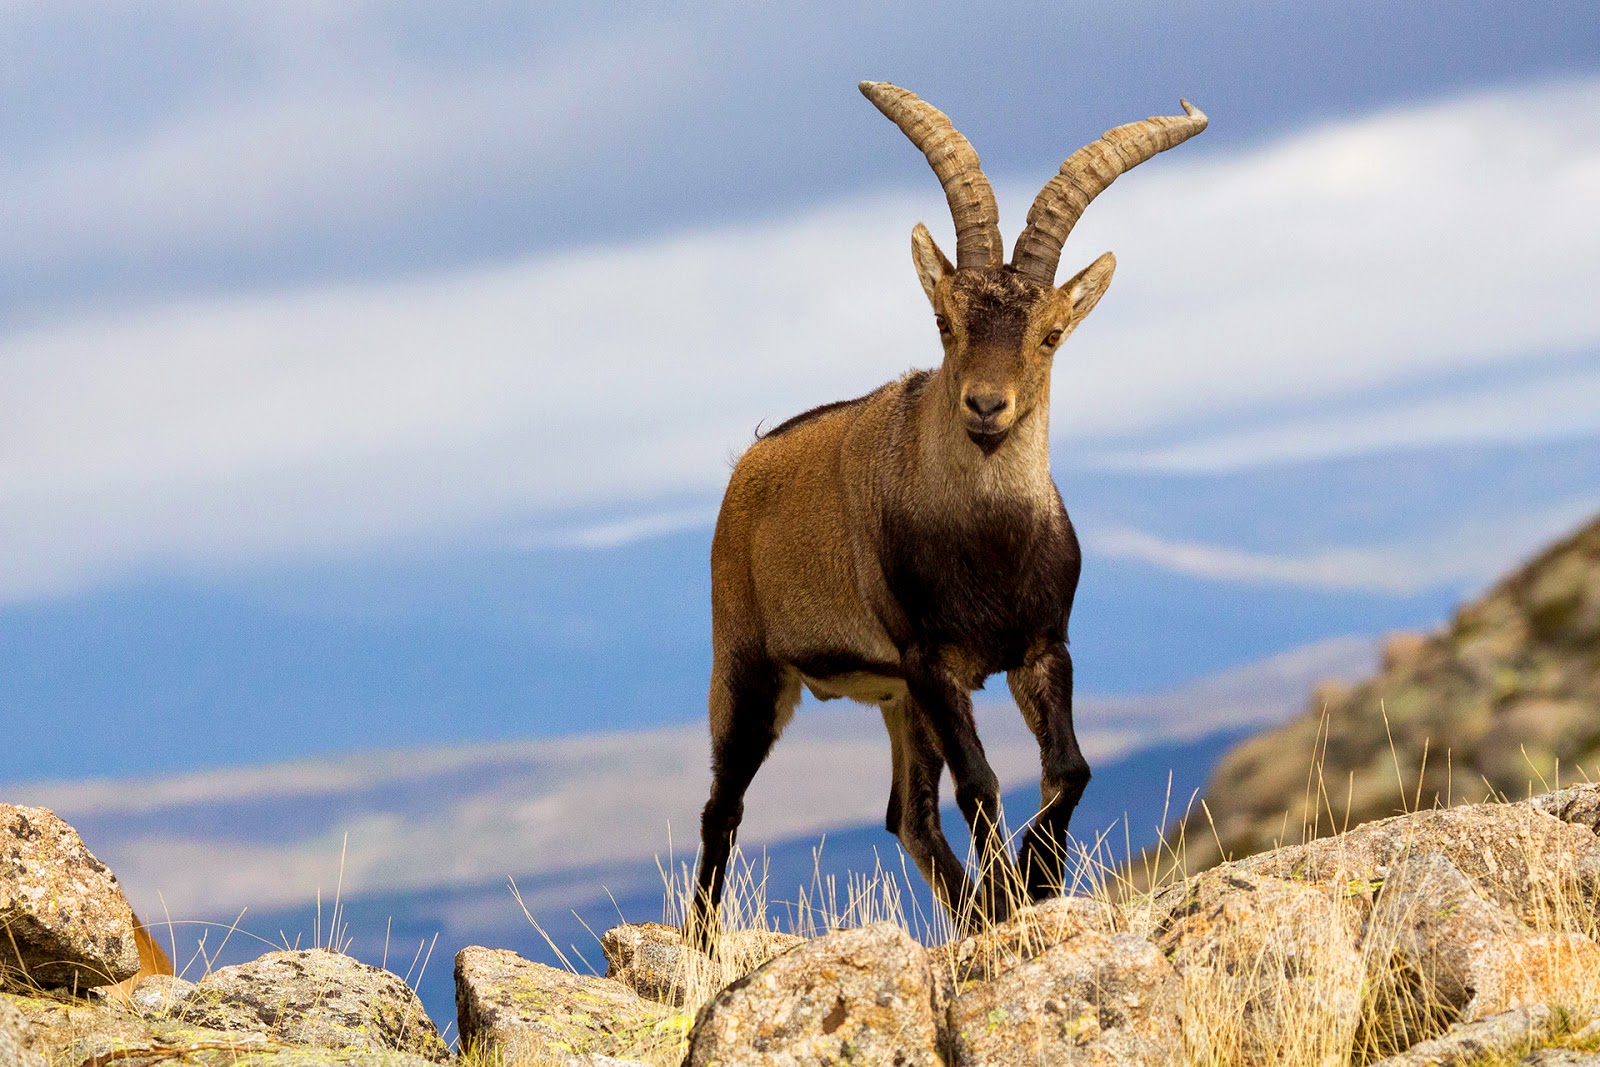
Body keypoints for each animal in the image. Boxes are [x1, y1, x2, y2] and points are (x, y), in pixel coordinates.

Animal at [689, 82, 1206, 942]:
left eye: (1050, 334)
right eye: (946, 322)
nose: (986, 406)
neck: (987, 542)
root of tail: (747, 466)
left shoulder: (1039, 647)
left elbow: (1069, 768)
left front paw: (1035, 880)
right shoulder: (933, 658)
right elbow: (983, 783)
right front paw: (1015, 891)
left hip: (896, 698)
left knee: (907, 813)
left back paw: (971, 908)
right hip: (749, 666)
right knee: (721, 807)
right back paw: (698, 943)